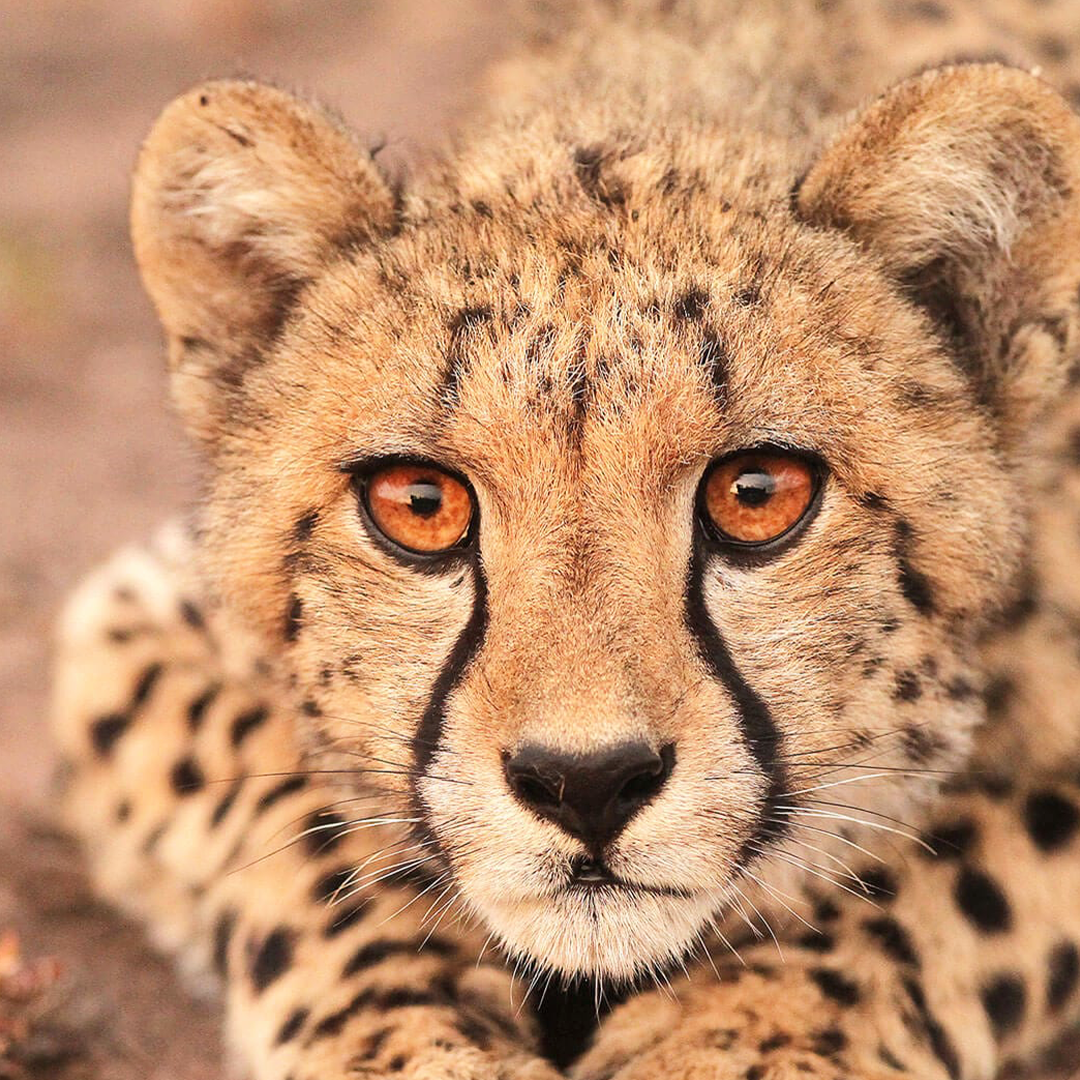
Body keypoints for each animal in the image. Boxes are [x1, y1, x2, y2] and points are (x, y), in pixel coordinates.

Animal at [48, 1, 1080, 1078]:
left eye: (759, 494)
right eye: (419, 504)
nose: (586, 783)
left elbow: (963, 852)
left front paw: (740, 1036)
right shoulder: (120, 623)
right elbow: (307, 810)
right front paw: (418, 1041)